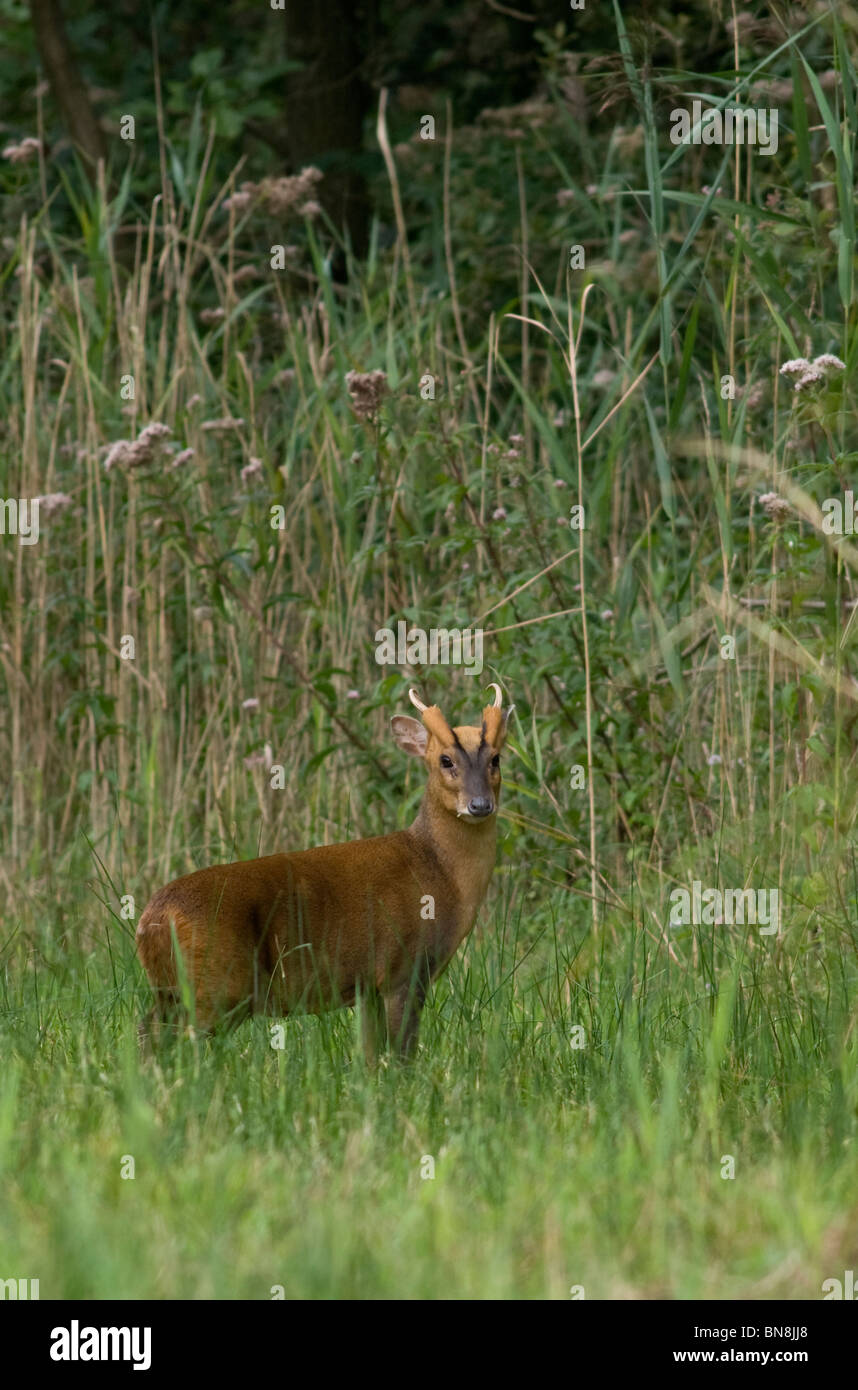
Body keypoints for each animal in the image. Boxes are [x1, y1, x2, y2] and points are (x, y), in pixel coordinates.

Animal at [135, 684, 513, 1058]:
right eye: (445, 760)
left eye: (496, 759)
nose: (480, 805)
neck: (439, 871)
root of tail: (151, 919)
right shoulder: (403, 968)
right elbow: (401, 1054)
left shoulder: (367, 987)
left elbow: (371, 1057)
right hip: (216, 985)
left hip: (175, 990)